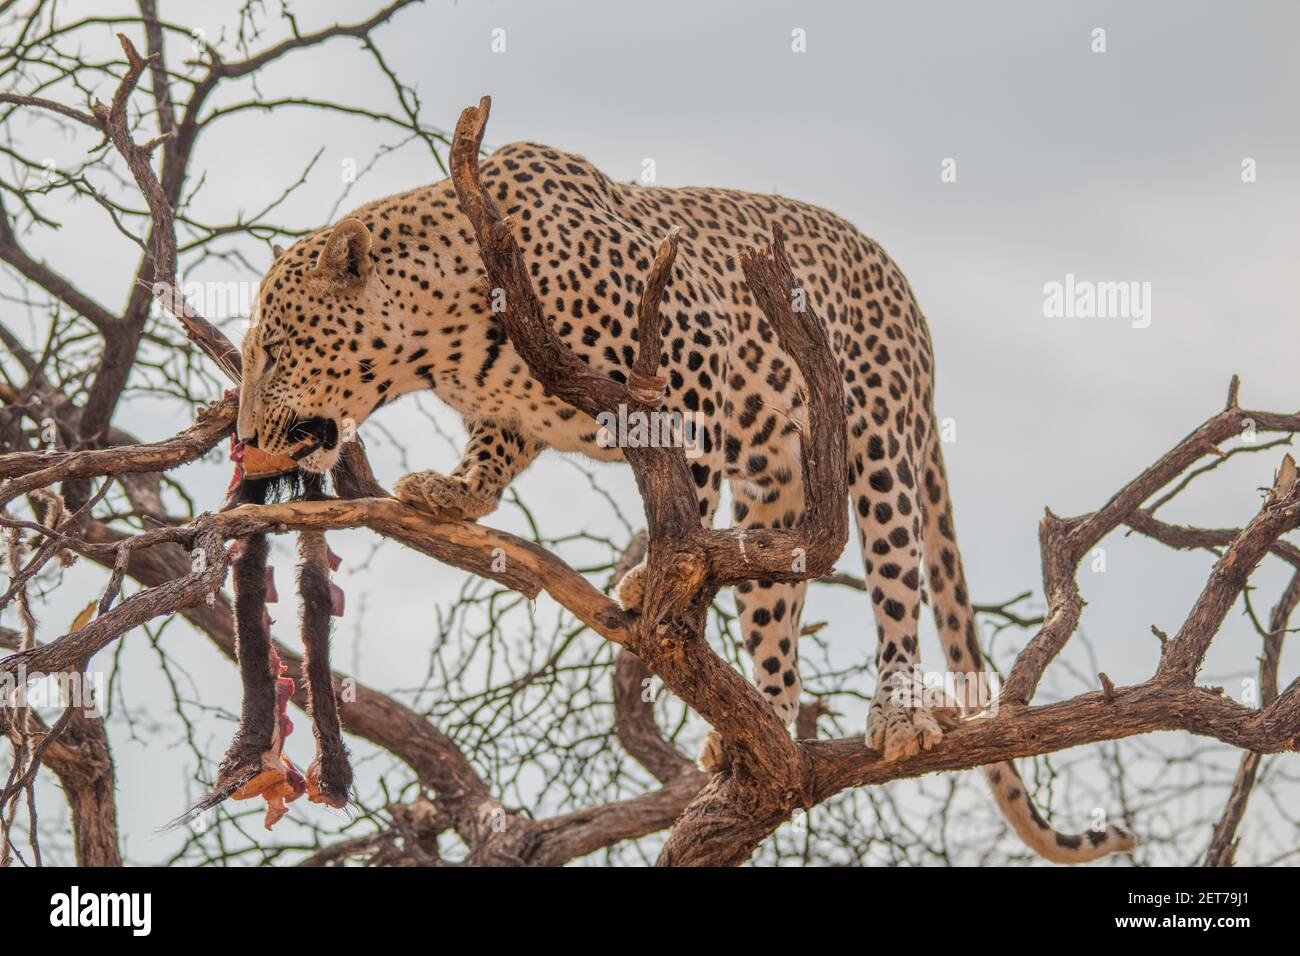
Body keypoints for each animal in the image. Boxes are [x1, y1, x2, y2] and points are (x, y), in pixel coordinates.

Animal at [236, 139, 1136, 863]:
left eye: (274, 349)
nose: (241, 438)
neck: (444, 342)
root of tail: (902, 285)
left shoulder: (691, 351)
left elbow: (681, 484)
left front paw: (655, 571)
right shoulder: (516, 410)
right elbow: (497, 445)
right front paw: (452, 490)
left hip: (878, 438)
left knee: (895, 578)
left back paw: (898, 714)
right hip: (776, 487)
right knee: (775, 610)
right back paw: (754, 733)